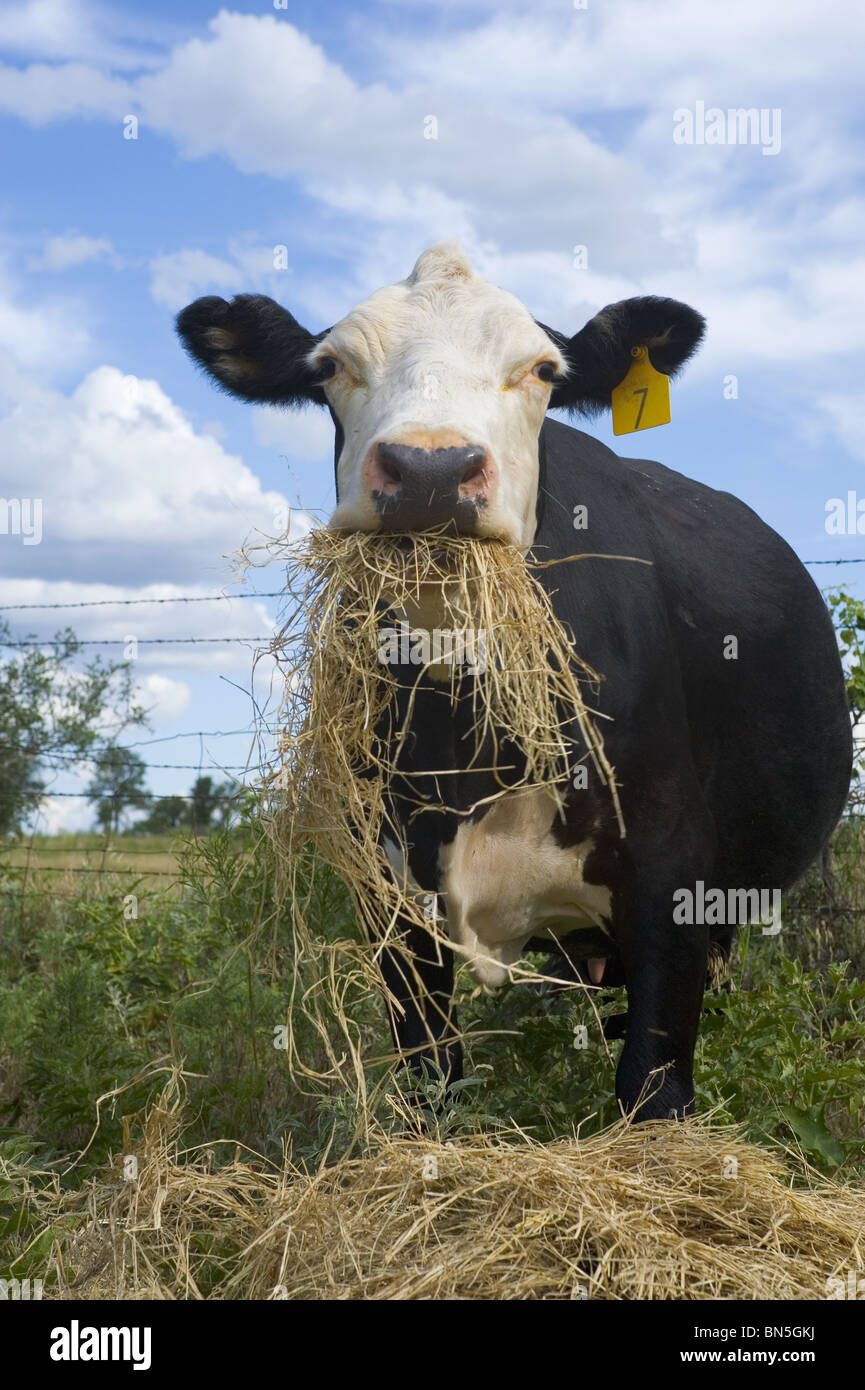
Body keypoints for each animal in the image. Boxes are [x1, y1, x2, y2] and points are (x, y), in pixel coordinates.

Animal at [177, 242, 852, 1121]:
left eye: (540, 369)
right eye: (330, 366)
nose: (430, 468)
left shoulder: (674, 875)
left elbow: (651, 1087)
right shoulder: (388, 891)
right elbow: (431, 1078)